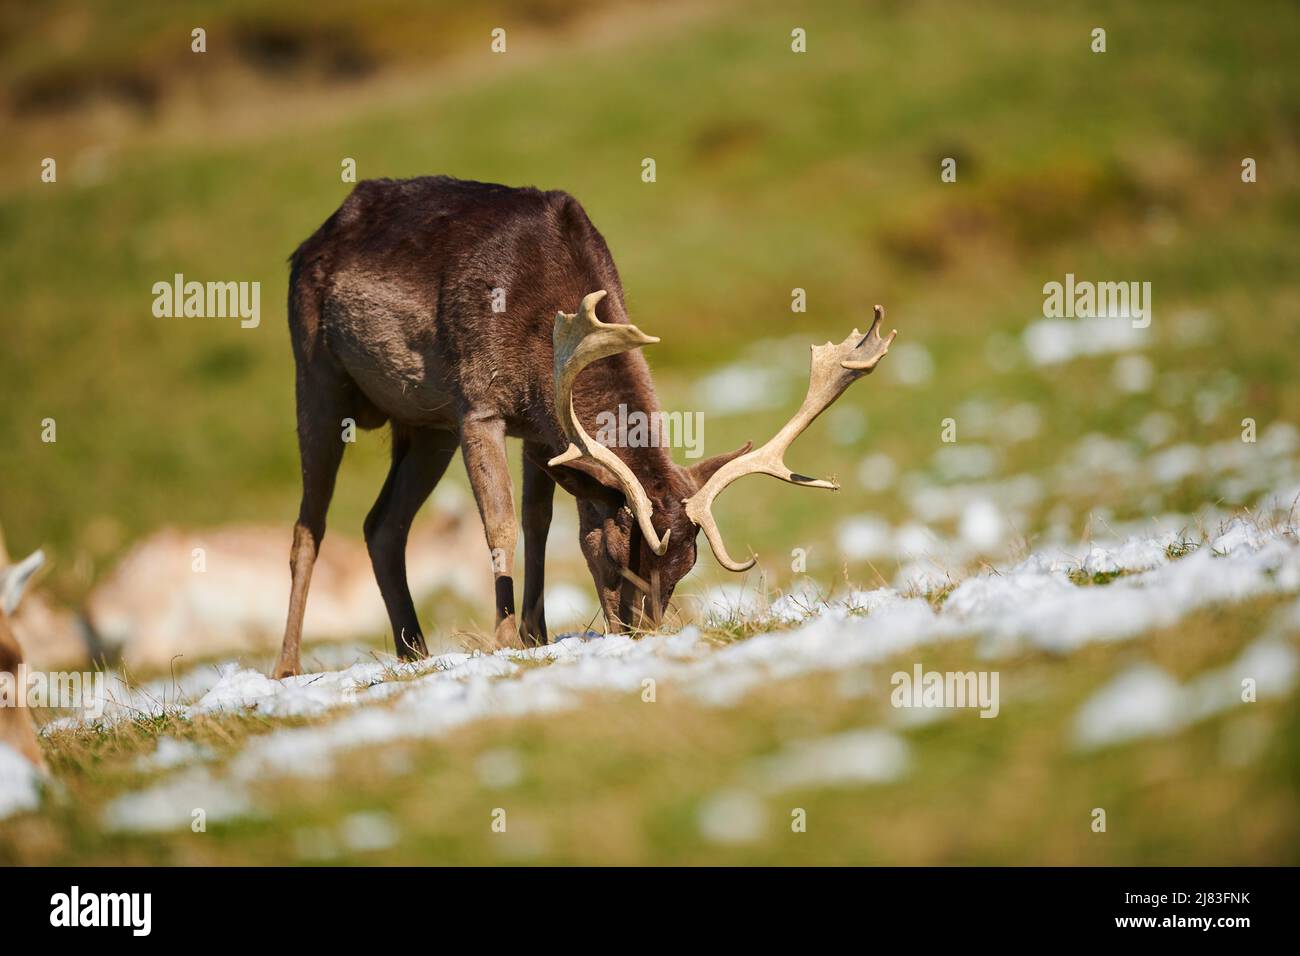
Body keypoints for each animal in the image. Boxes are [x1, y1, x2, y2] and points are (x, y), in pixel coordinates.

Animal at [273, 176, 895, 678]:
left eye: (686, 567)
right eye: (620, 556)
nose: (643, 633)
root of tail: (306, 245)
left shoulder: (541, 431)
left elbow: (539, 523)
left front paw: (536, 635)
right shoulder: (478, 406)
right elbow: (500, 526)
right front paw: (506, 641)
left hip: (425, 427)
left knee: (382, 524)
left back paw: (414, 652)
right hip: (316, 376)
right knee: (309, 527)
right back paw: (288, 667)